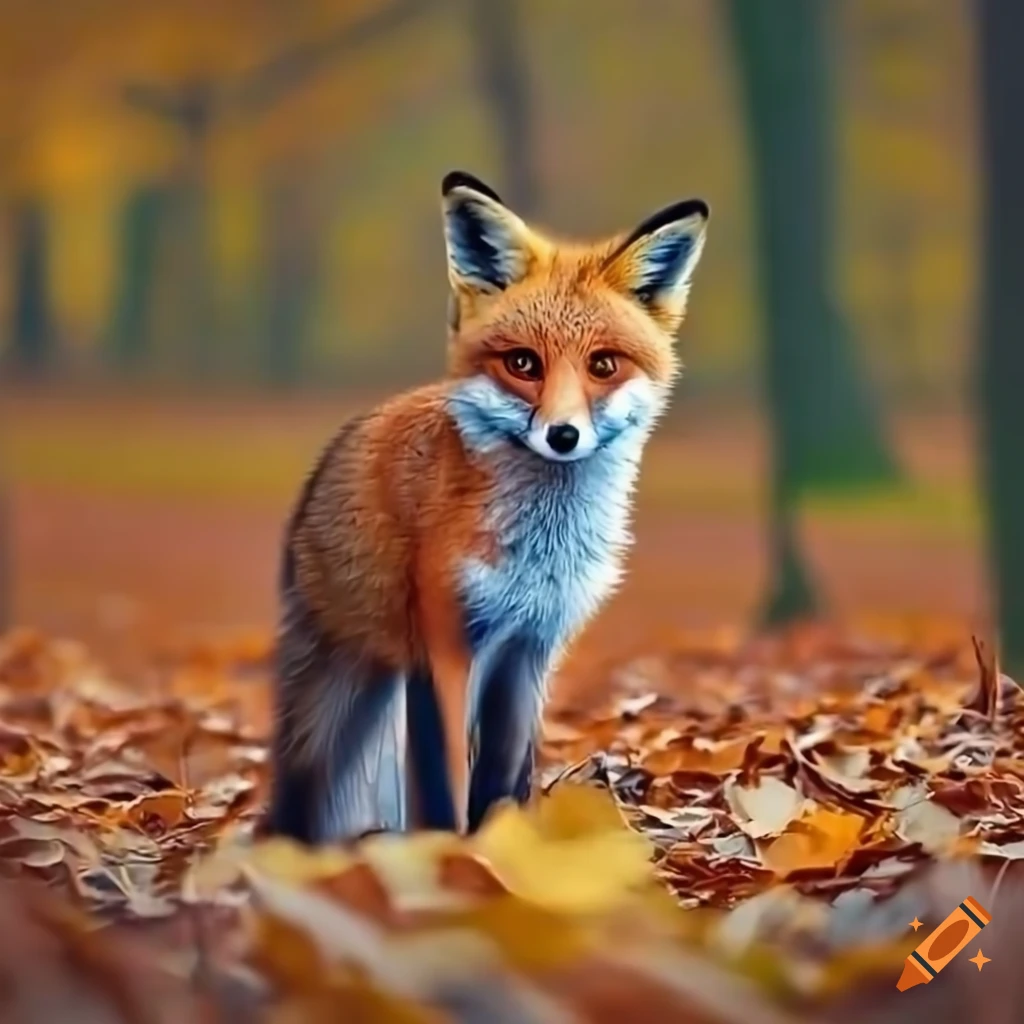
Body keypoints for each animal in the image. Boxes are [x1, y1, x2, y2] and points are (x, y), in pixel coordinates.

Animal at [265, 170, 709, 844]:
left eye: (603, 365)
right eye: (523, 363)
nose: (562, 435)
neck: (541, 547)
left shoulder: (529, 649)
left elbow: (504, 778)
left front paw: (506, 850)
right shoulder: (441, 644)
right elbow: (443, 779)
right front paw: (448, 857)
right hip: (339, 689)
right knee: (301, 787)